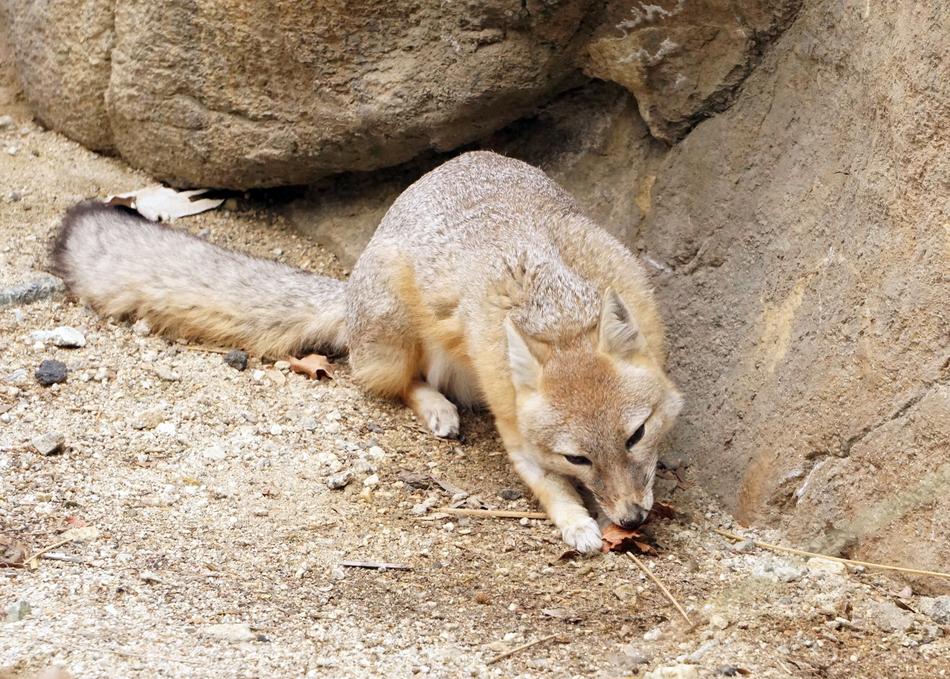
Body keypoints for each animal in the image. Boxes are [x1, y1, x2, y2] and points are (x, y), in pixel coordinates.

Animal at [51, 151, 683, 553]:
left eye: (635, 436)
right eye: (578, 458)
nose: (631, 518)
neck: (558, 308)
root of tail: (350, 285)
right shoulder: (517, 433)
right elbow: (548, 488)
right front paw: (577, 524)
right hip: (396, 335)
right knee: (389, 383)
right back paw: (437, 409)